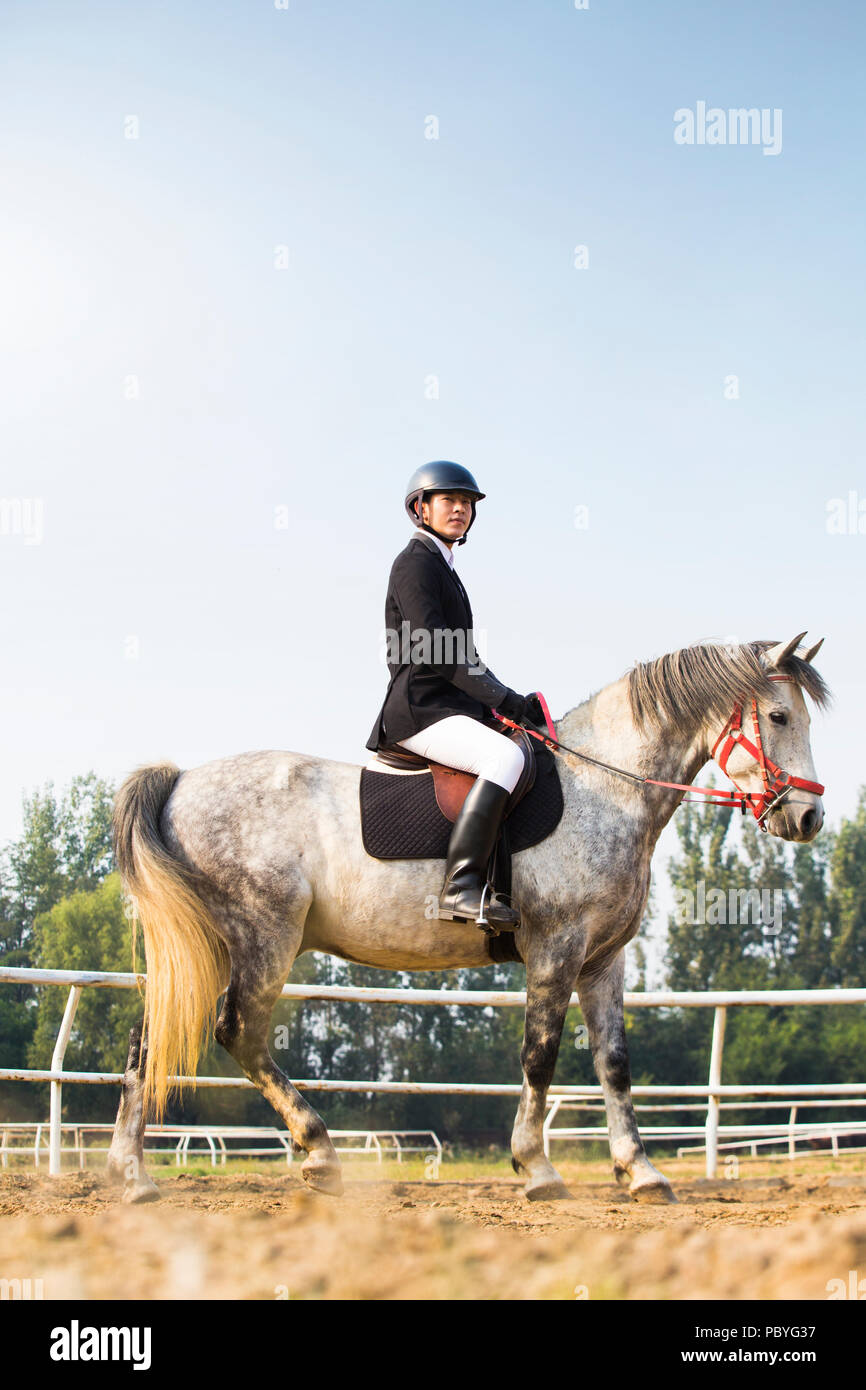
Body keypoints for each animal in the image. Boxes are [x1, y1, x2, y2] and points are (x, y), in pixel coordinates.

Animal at [106, 632, 828, 1204]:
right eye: (778, 715)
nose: (809, 818)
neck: (606, 788)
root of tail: (180, 781)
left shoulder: (603, 960)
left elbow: (615, 1062)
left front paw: (641, 1172)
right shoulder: (557, 949)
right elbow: (541, 1054)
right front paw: (536, 1168)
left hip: (210, 945)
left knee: (149, 1039)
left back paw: (133, 1175)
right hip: (264, 937)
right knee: (238, 1030)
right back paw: (318, 1152)